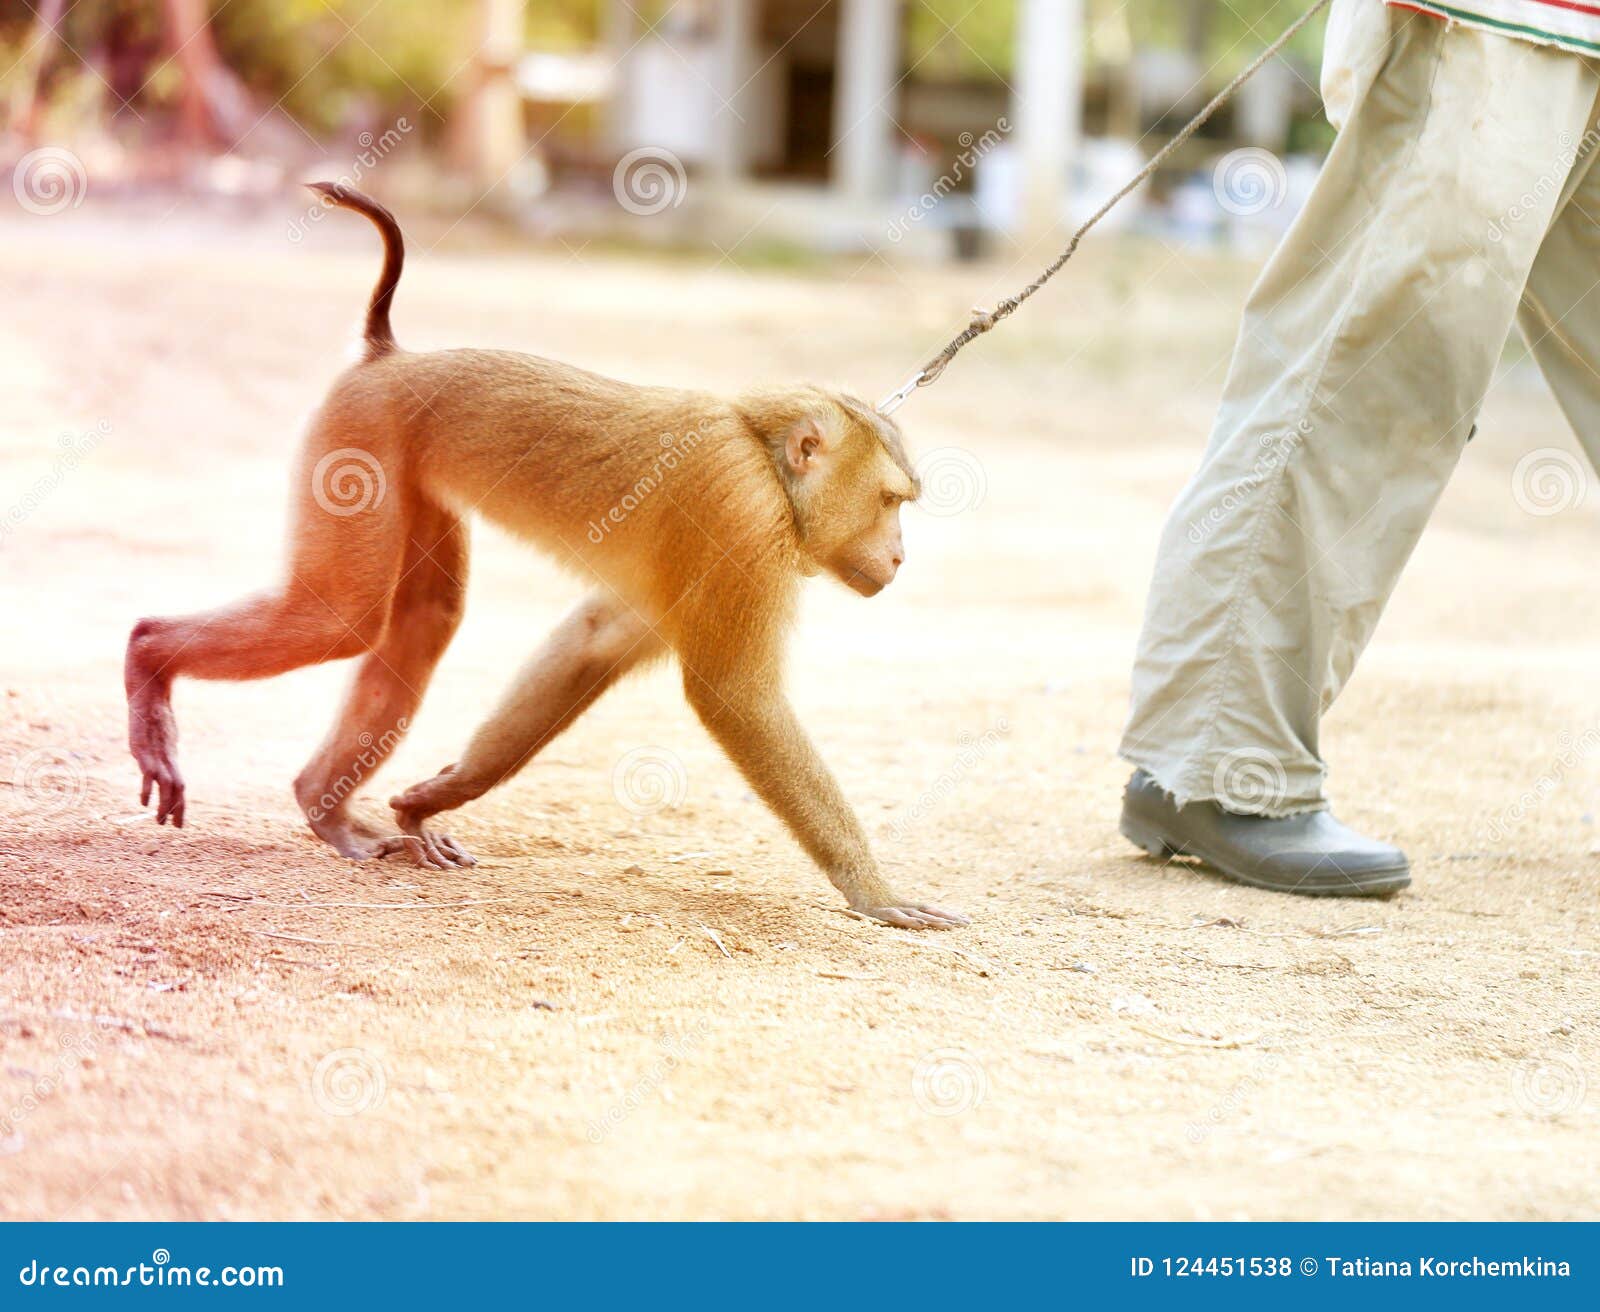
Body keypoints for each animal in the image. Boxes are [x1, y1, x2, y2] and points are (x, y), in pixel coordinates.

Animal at [123, 182, 967, 931]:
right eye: (891, 502)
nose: (899, 556)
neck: (761, 453)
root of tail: (389, 360)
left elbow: (594, 641)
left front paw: (439, 793)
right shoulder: (737, 515)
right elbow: (732, 694)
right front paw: (872, 888)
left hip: (403, 461)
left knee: (423, 616)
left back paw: (321, 804)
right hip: (357, 441)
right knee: (343, 618)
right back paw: (150, 657)